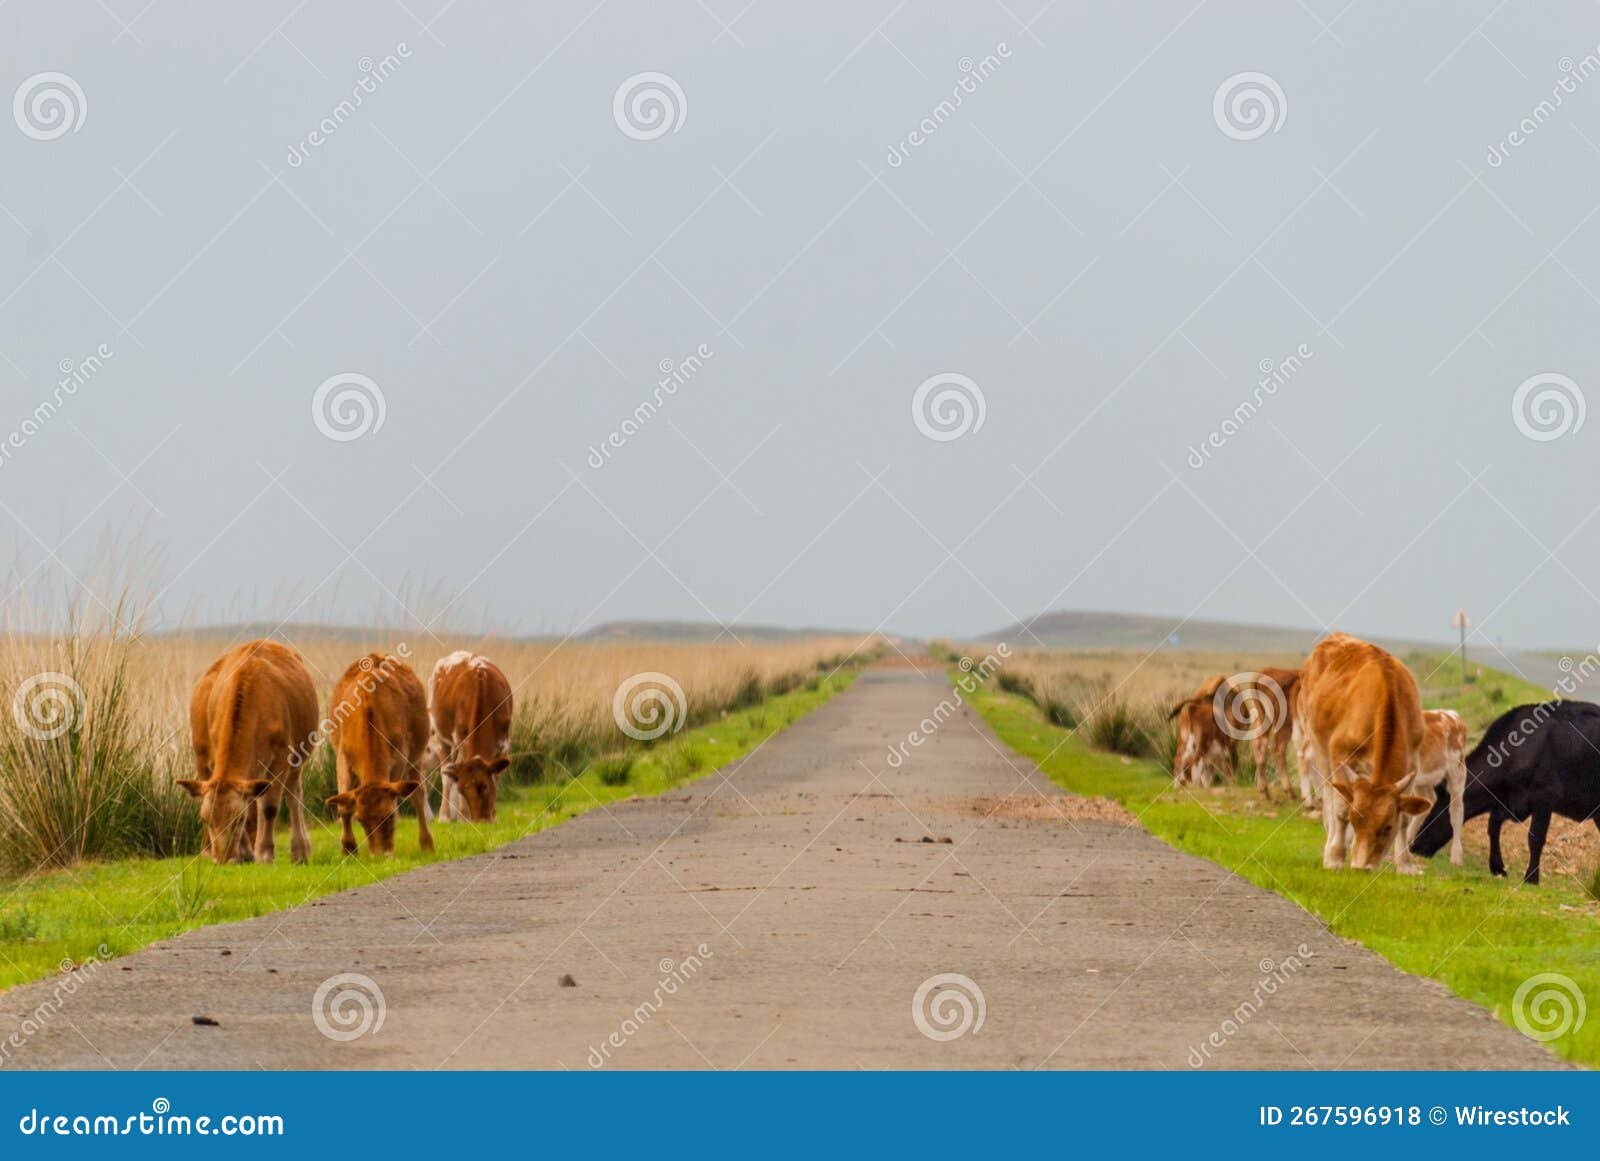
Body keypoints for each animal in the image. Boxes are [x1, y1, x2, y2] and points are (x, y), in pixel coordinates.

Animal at [177, 639, 319, 865]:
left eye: (238, 819)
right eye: (204, 819)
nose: (222, 859)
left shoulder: (280, 760)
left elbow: (269, 807)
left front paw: (264, 853)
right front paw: (244, 853)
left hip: (296, 760)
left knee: (293, 795)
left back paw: (300, 850)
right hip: (202, 757)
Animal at [325, 653, 434, 856]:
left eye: (389, 816)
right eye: (360, 819)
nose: (379, 854)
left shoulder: (399, 759)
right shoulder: (342, 757)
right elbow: (344, 803)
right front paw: (348, 847)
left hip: (416, 759)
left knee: (418, 795)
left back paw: (427, 843)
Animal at [428, 651, 512, 822]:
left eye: (484, 786)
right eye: (462, 790)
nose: (480, 821)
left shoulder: (504, 742)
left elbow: (497, 775)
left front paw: (494, 815)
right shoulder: (462, 740)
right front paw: (463, 815)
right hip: (440, 738)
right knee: (446, 775)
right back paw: (446, 816)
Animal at [1298, 633, 1431, 871]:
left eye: (1387, 827)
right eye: (1355, 820)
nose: (1362, 868)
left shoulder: (1413, 761)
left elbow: (1405, 818)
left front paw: (1405, 865)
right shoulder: (1339, 754)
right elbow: (1340, 808)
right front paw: (1335, 857)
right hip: (1318, 746)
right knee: (1329, 797)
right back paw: (1331, 841)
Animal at [1411, 700, 1600, 885]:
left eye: (1436, 811)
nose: (1414, 846)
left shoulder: (1544, 796)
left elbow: (1536, 838)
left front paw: (1531, 878)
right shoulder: (1514, 803)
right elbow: (1493, 825)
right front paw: (1497, 868)